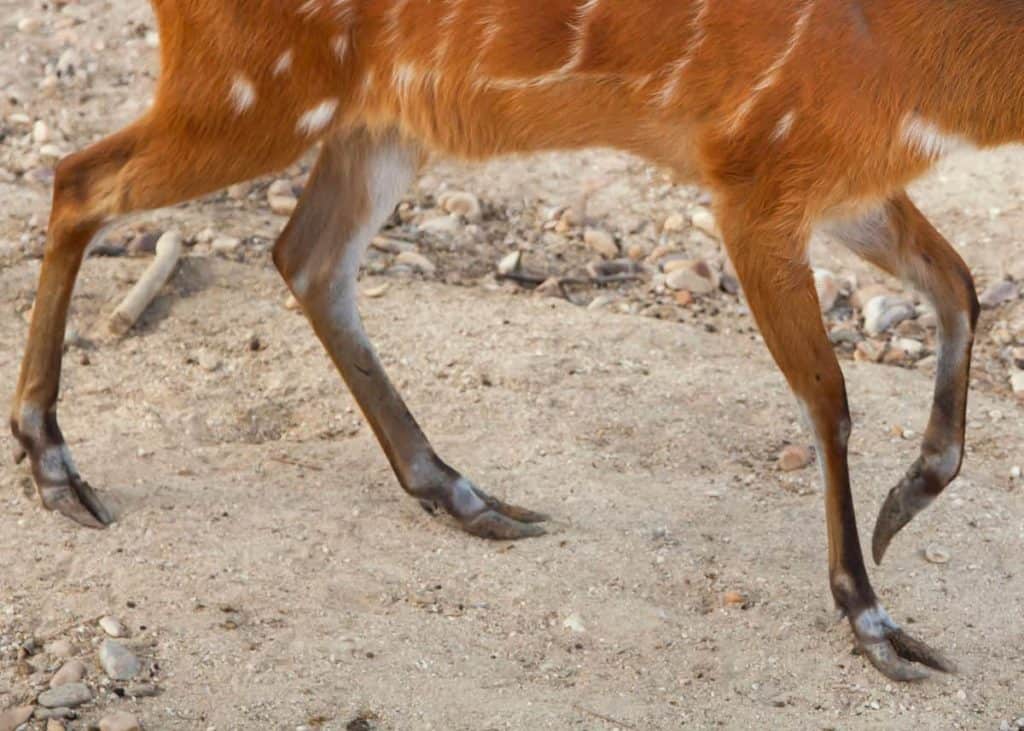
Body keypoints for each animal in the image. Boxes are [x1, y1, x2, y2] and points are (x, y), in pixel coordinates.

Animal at [12, 0, 1005, 682]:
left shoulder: (842, 183)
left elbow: (960, 287)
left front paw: (904, 503)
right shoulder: (755, 179)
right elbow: (828, 397)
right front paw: (877, 622)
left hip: (378, 118)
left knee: (307, 255)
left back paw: (464, 494)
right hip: (252, 90)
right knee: (81, 179)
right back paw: (53, 463)